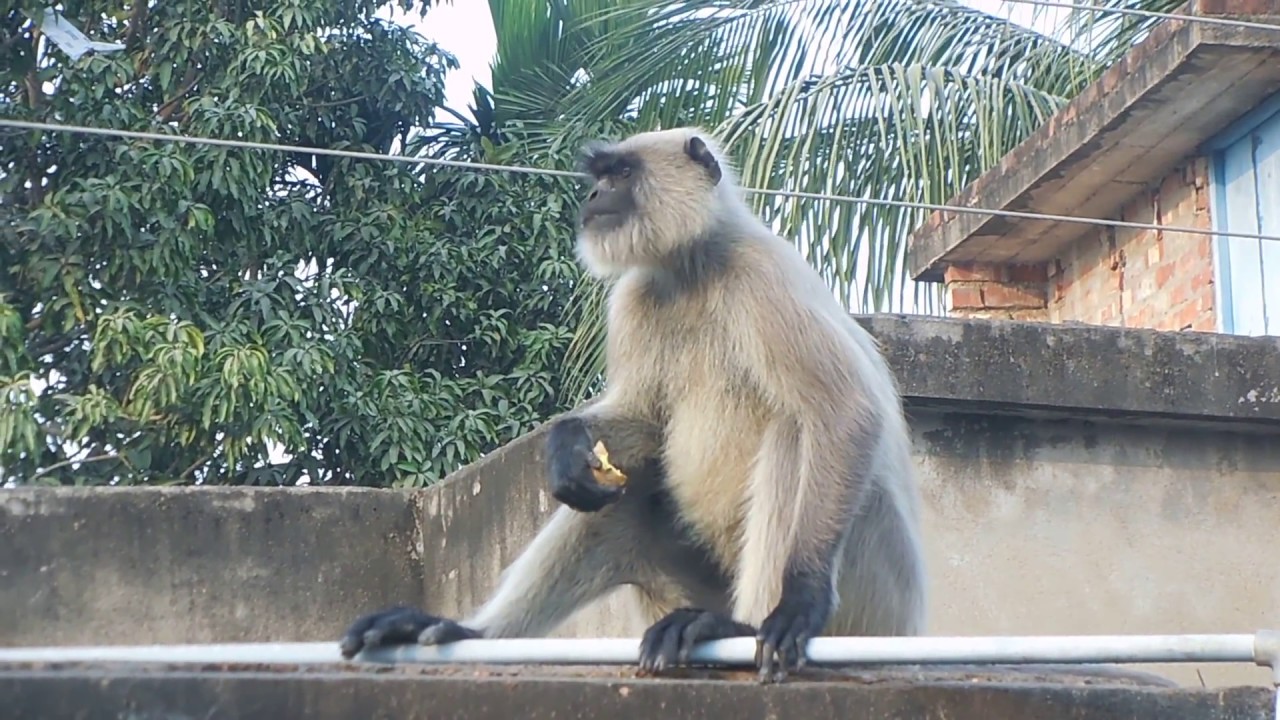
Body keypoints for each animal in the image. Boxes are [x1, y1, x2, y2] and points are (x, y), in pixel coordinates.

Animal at [339, 127, 928, 683]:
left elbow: (844, 410)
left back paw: (738, 627)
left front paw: (801, 597)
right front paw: (566, 443)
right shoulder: (635, 298)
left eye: (621, 173)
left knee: (793, 430)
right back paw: (466, 632)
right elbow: (645, 422)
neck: (692, 268)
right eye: (600, 176)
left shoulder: (763, 276)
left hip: (876, 595)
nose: (594, 194)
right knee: (625, 491)